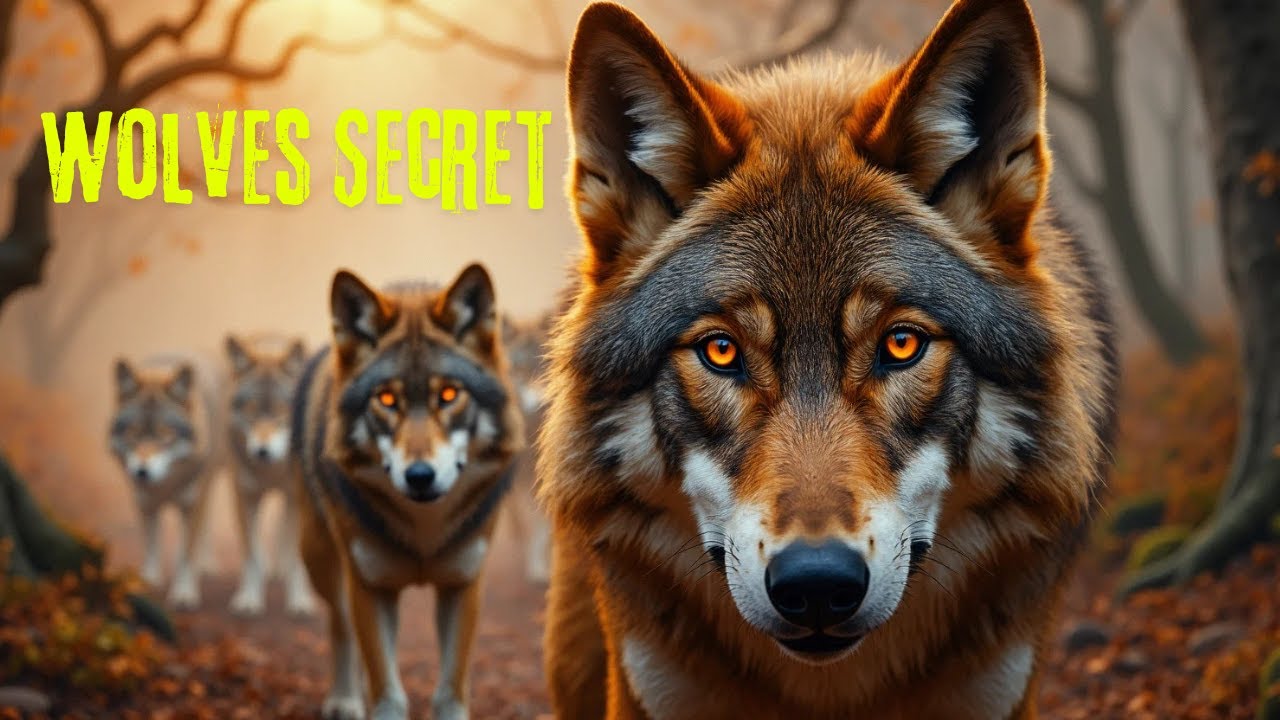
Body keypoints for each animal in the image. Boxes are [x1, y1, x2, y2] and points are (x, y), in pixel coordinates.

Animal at [109, 355, 224, 609]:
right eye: (133, 434)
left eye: (165, 435)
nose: (142, 471)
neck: (166, 486)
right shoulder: (144, 501)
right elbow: (151, 544)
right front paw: (148, 582)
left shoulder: (192, 503)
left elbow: (186, 552)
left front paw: (184, 593)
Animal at [224, 333, 315, 616]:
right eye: (251, 412)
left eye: (280, 412)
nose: (262, 451)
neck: (272, 471)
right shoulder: (245, 496)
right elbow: (251, 554)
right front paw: (249, 600)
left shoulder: (297, 498)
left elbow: (296, 557)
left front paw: (300, 602)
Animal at [294, 265, 523, 720]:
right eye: (386, 399)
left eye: (449, 395)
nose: (419, 476)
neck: (424, 535)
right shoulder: (369, 587)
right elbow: (388, 692)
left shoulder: (462, 585)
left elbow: (450, 690)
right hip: (321, 560)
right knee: (340, 625)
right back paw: (345, 699)